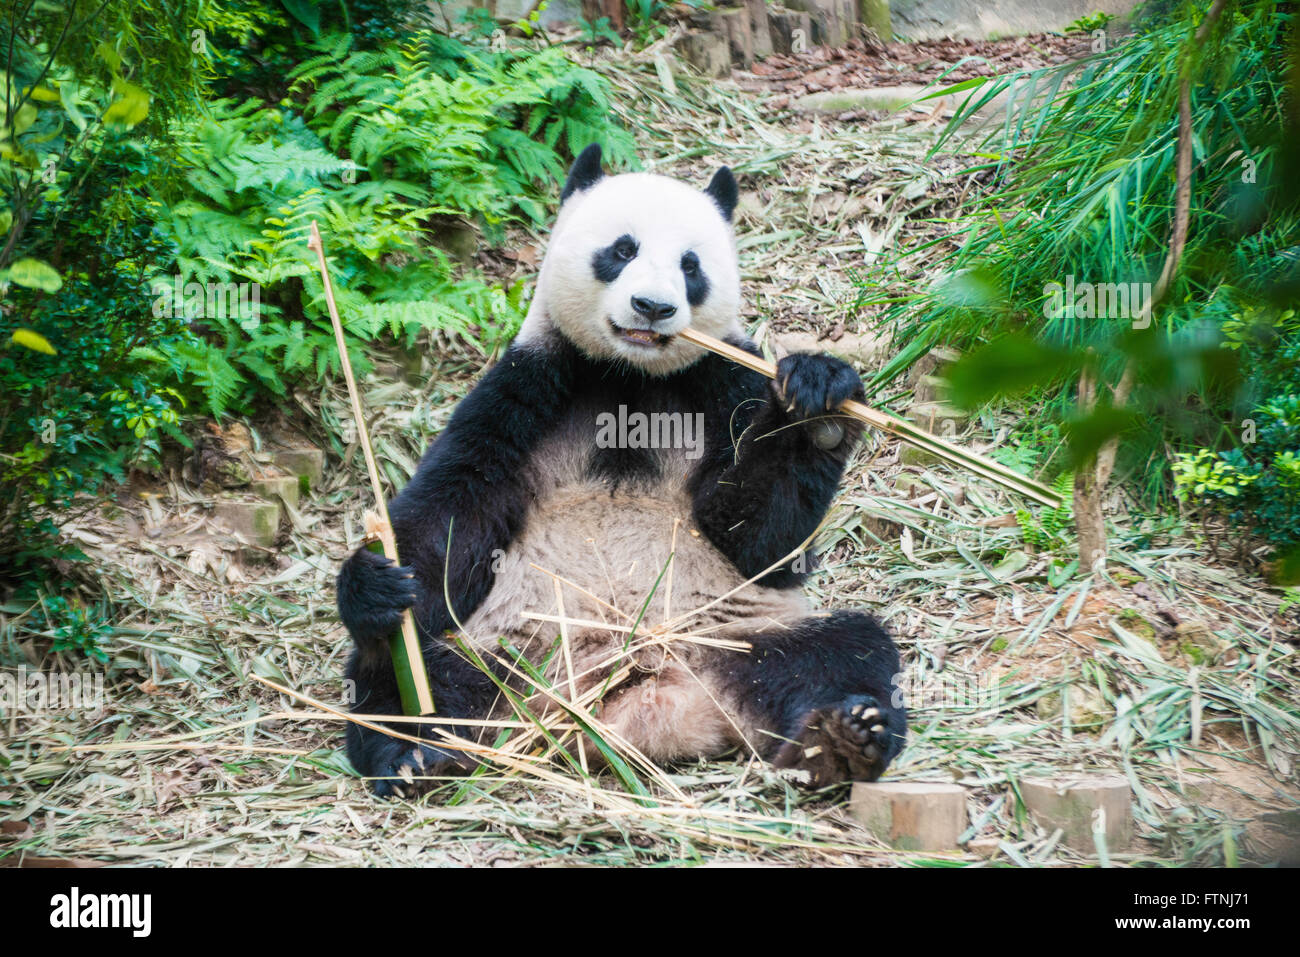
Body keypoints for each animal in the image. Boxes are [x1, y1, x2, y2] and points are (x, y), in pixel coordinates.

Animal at [337, 144, 907, 797]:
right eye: (622, 250)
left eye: (691, 265)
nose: (653, 308)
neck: (628, 376)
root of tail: (648, 709)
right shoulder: (527, 388)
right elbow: (452, 516)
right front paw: (376, 580)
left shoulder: (723, 381)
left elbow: (763, 541)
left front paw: (820, 403)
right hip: (506, 648)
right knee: (408, 676)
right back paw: (411, 753)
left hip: (734, 635)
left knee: (845, 651)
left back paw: (840, 739)